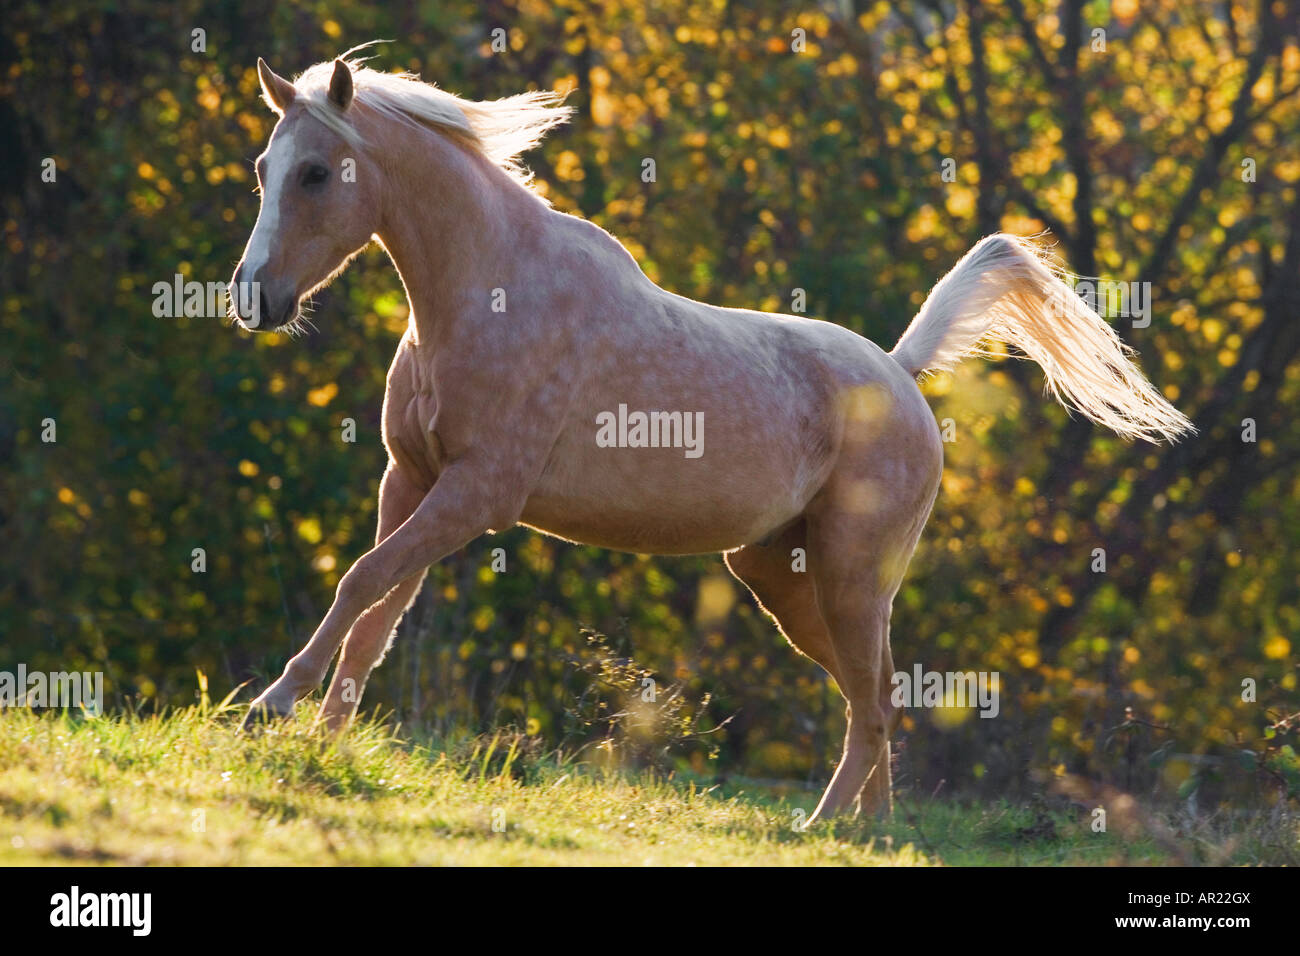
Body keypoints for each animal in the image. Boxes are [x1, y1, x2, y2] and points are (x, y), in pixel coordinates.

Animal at [231, 50, 1193, 823]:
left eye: (315, 173)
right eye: (265, 167)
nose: (252, 298)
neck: (491, 290)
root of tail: (900, 373)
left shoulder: (475, 494)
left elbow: (362, 583)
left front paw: (271, 708)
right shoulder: (412, 479)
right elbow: (376, 611)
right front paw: (323, 741)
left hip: (852, 578)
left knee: (872, 701)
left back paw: (824, 828)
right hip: (783, 578)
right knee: (873, 696)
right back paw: (871, 832)